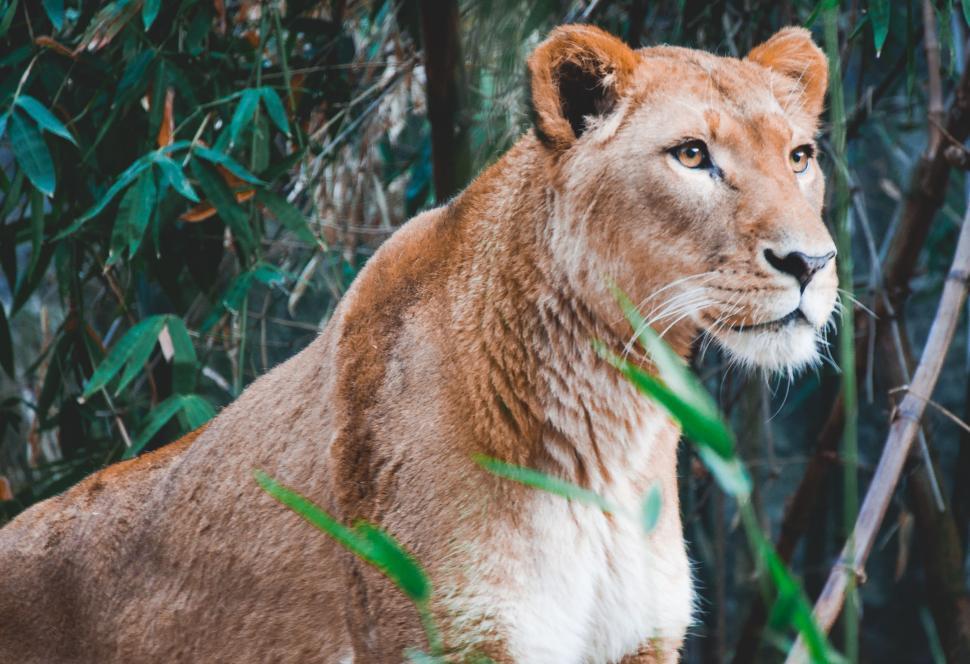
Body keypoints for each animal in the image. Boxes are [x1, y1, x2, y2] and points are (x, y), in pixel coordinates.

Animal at [0, 24, 836, 663]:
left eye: (799, 157)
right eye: (692, 155)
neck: (613, 417)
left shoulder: (641, 639)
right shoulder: (452, 634)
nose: (812, 262)